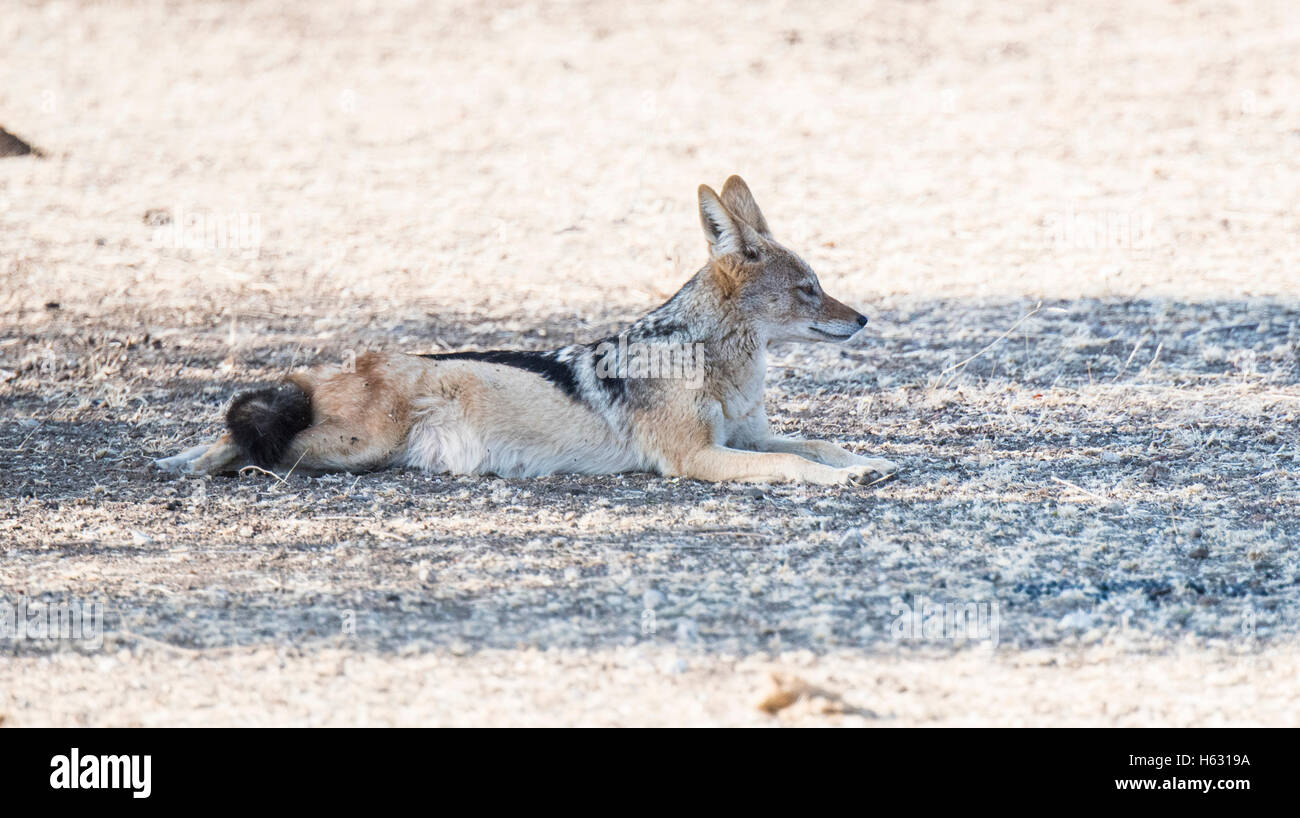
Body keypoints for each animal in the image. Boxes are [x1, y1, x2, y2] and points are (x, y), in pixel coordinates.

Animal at [154, 176, 899, 485]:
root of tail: (350, 364)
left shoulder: (748, 435)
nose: (862, 319)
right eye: (810, 290)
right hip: (350, 447)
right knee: (241, 437)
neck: (719, 363)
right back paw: (182, 464)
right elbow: (794, 464)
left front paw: (870, 462)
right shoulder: (697, 457)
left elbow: (819, 444)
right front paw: (846, 477)